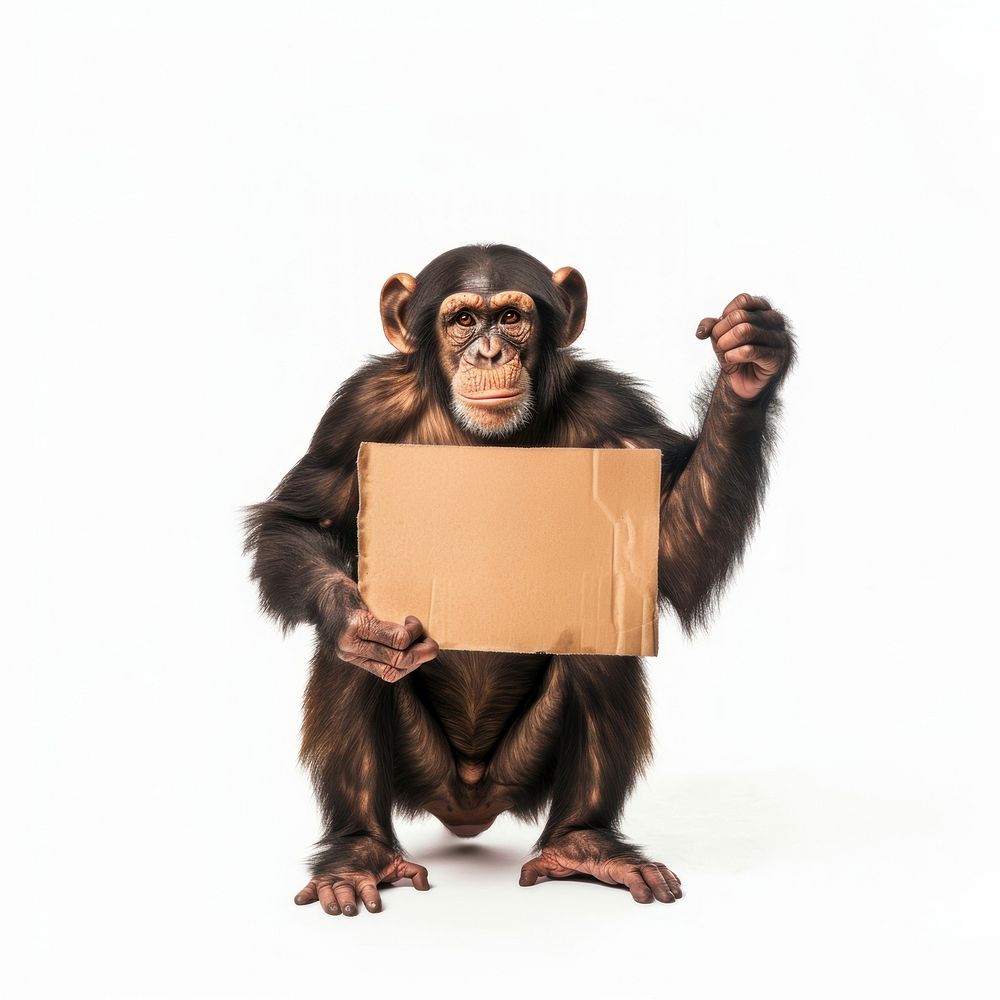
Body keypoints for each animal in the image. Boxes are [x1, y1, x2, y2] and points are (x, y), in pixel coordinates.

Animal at [244, 244, 795, 916]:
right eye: (463, 320)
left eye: (510, 316)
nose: (488, 352)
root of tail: (469, 809)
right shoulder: (357, 409)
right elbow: (297, 523)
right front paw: (357, 622)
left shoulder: (613, 409)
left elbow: (668, 550)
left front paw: (748, 363)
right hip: (425, 771)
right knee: (349, 661)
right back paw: (357, 854)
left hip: (520, 771)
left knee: (601, 639)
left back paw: (585, 845)